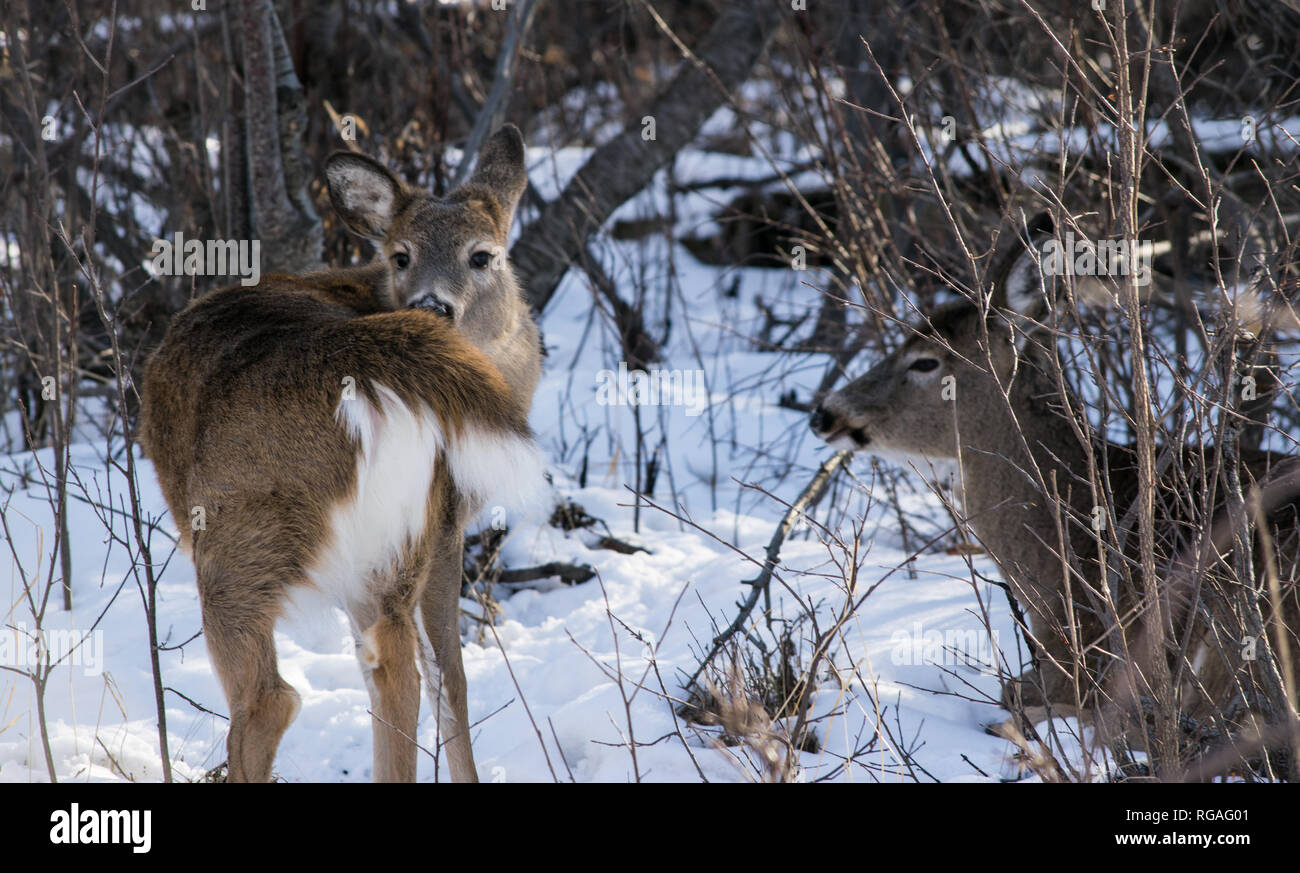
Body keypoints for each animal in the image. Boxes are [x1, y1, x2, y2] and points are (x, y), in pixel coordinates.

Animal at [140, 125, 543, 783]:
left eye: (483, 255)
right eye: (400, 255)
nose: (432, 305)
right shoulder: (442, 519)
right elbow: (444, 675)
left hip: (239, 533)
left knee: (274, 698)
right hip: (380, 544)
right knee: (398, 668)